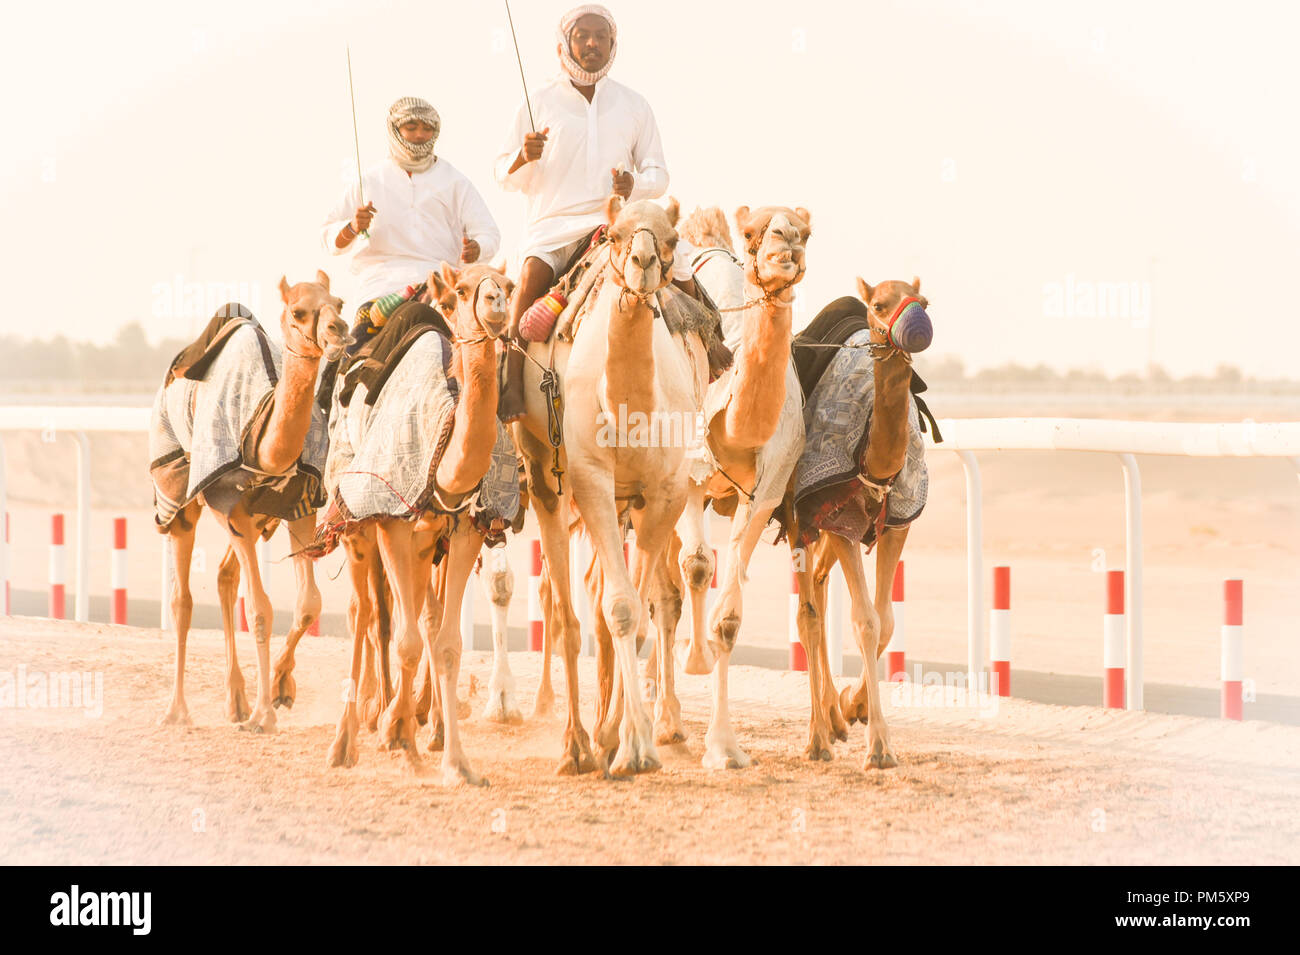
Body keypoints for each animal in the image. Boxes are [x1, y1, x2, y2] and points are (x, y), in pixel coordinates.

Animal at [158, 272, 352, 731]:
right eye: (299, 311)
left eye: (337, 301)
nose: (339, 330)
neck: (263, 447)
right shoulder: (229, 505)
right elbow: (262, 609)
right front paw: (265, 714)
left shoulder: (298, 507)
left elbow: (307, 604)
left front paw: (280, 690)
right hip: (179, 496)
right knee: (182, 599)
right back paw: (178, 710)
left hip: (256, 519)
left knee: (225, 578)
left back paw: (236, 701)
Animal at [326, 262, 511, 786]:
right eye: (461, 291)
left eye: (507, 285)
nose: (496, 303)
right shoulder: (392, 519)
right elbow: (406, 639)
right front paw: (400, 740)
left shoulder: (465, 530)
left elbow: (445, 642)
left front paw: (457, 762)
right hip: (356, 521)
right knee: (365, 614)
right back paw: (346, 741)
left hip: (427, 543)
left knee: (412, 616)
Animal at [513, 195, 709, 776]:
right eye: (618, 235)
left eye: (671, 238)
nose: (643, 262)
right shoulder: (593, 481)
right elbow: (619, 609)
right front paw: (625, 745)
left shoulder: (664, 495)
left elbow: (637, 616)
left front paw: (626, 741)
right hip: (547, 479)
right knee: (565, 608)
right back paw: (575, 744)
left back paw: (600, 731)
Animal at [645, 204, 811, 769]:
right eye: (755, 231)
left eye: (805, 231)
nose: (785, 246)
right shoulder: (689, 478)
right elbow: (696, 566)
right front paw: (694, 662)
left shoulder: (765, 493)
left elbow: (728, 619)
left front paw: (724, 748)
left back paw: (665, 716)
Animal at [785, 277, 933, 770]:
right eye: (879, 305)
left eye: (924, 301)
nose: (917, 328)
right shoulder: (837, 521)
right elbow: (864, 620)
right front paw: (880, 748)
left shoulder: (897, 526)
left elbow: (884, 620)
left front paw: (856, 706)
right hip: (798, 518)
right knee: (807, 614)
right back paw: (817, 737)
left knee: (818, 589)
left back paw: (833, 716)